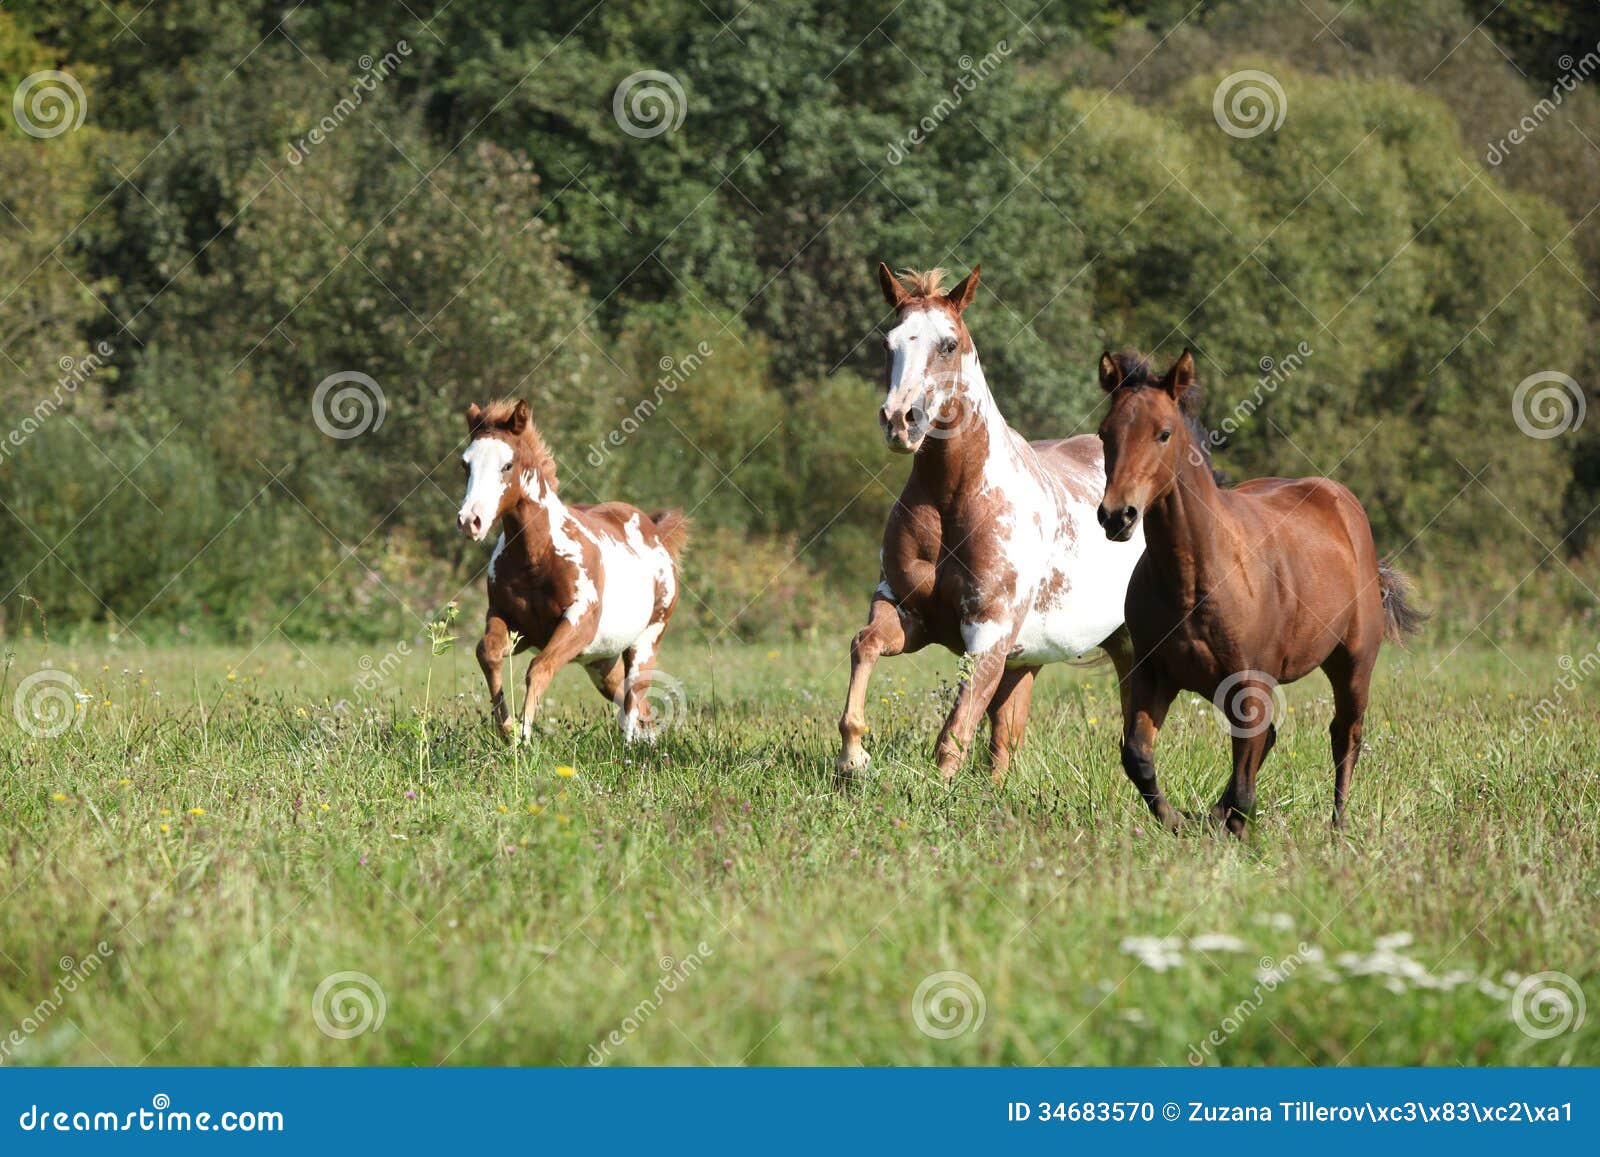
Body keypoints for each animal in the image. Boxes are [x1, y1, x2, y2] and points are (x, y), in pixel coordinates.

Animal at [456, 400, 688, 743]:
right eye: (466, 465)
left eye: (507, 465)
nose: (471, 521)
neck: (536, 558)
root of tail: (657, 534)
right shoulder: (508, 621)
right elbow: (488, 653)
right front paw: (507, 728)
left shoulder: (579, 622)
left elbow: (539, 667)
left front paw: (525, 734)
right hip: (601, 661)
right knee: (635, 705)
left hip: (646, 642)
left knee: (635, 700)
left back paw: (631, 747)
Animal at [835, 263, 1147, 785]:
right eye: (888, 343)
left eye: (949, 344)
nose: (901, 421)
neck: (953, 500)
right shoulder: (905, 611)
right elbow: (866, 645)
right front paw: (852, 755)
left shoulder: (988, 636)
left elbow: (954, 733)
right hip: (1028, 661)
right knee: (1005, 742)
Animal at [1094, 349, 1423, 834]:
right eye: (1105, 433)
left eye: (1163, 433)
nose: (1117, 516)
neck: (1196, 578)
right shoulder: (1154, 673)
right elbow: (1137, 755)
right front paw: (1179, 821)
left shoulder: (1249, 683)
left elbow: (1246, 786)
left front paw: (1228, 828)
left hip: (1354, 663)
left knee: (1345, 734)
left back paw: (1338, 824)